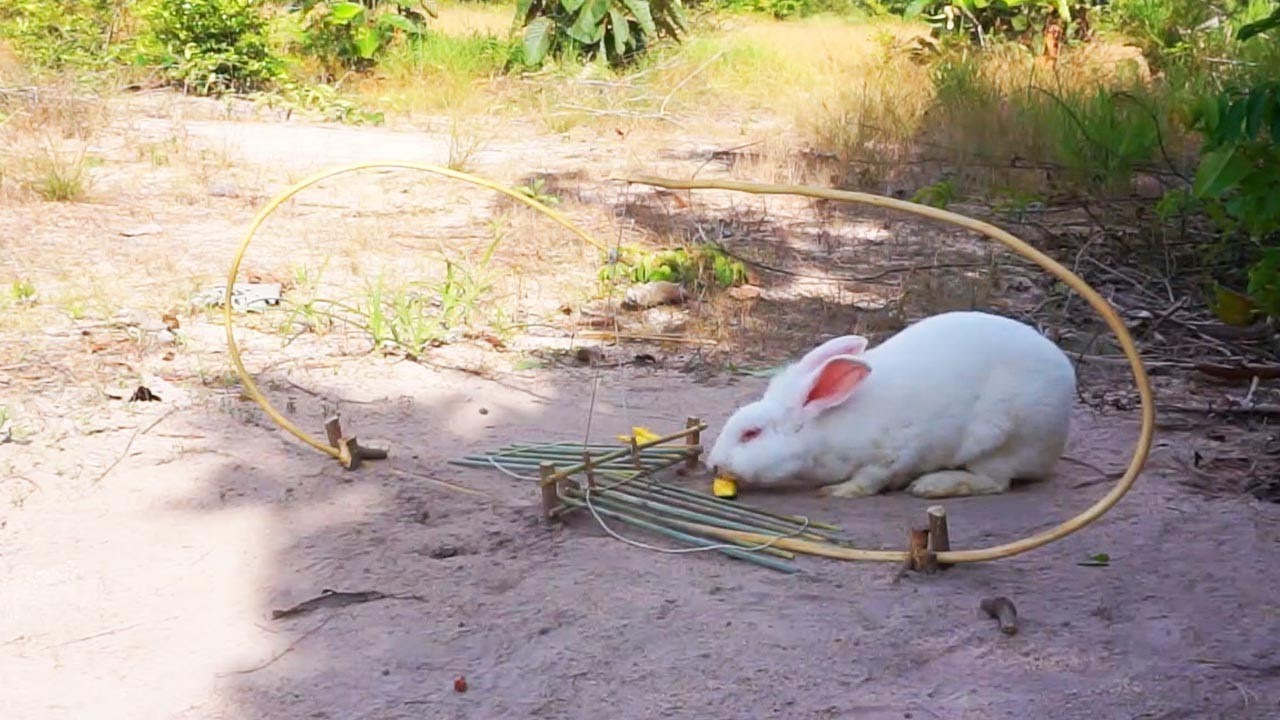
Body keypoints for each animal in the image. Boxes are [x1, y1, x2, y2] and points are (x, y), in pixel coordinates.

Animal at [705, 310, 1076, 499]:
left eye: (751, 434)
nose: (712, 464)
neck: (820, 432)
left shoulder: (892, 454)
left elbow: (869, 480)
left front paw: (837, 491)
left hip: (999, 441)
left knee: (997, 482)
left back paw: (931, 486)